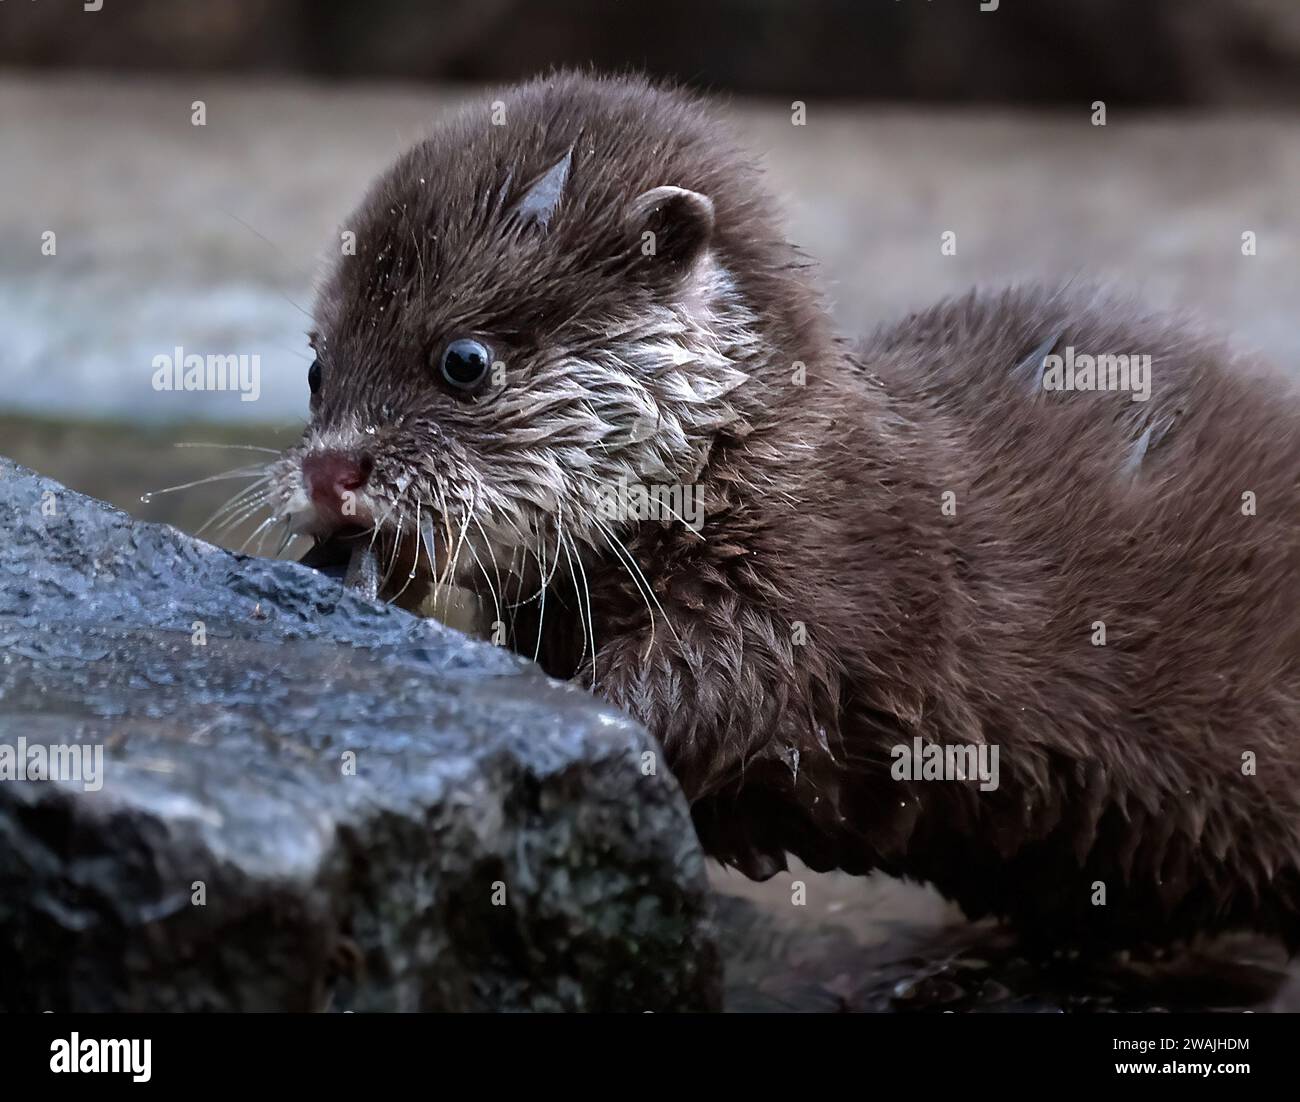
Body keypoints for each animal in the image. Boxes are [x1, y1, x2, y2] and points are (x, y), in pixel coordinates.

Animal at [267, 72, 1300, 947]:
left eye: (464, 360)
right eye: (317, 367)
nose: (331, 472)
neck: (768, 478)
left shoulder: (812, 591)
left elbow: (706, 695)